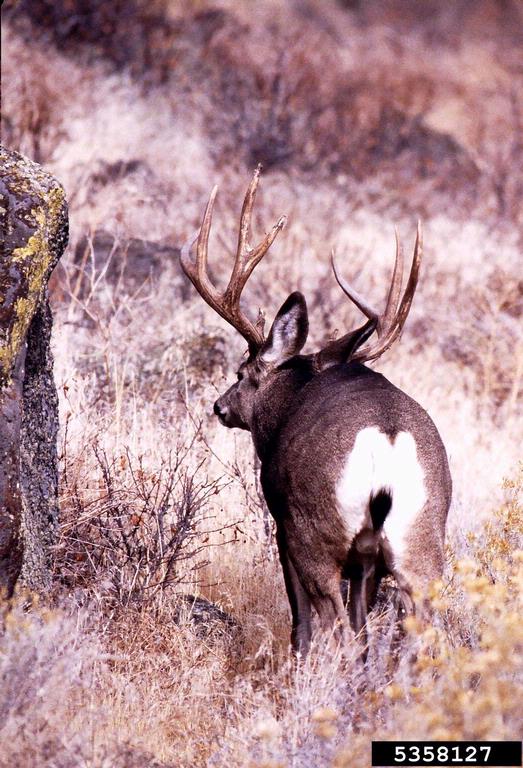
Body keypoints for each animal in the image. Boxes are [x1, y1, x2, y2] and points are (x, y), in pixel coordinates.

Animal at [181, 167, 452, 656]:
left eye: (241, 372)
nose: (220, 406)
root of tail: (386, 441)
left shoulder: (283, 522)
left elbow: (300, 622)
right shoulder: (367, 558)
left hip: (317, 530)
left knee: (336, 626)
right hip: (421, 537)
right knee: (417, 632)